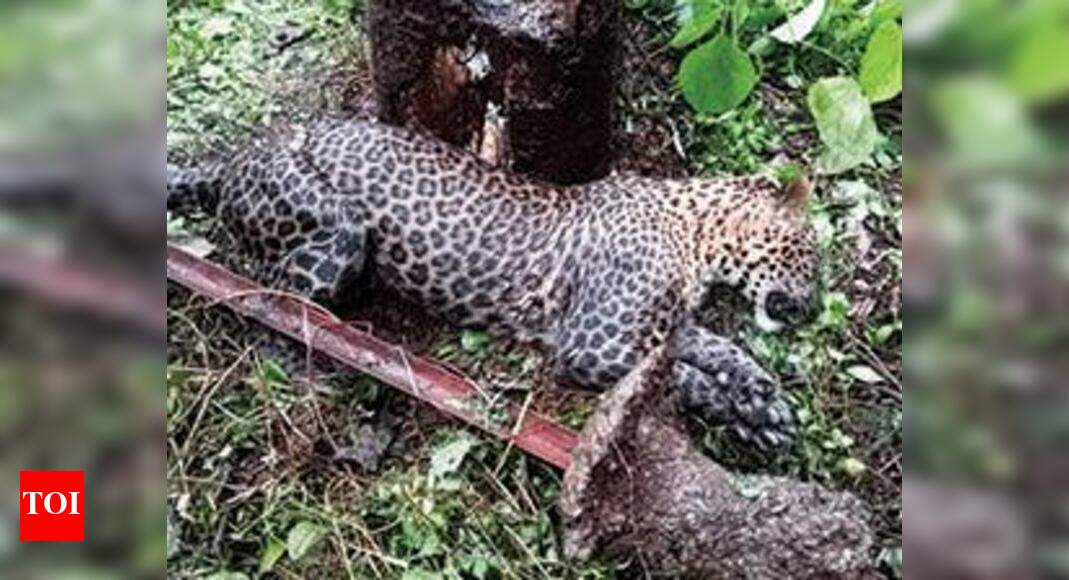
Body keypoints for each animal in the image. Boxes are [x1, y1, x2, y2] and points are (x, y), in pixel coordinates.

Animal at [167, 116, 820, 451]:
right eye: (811, 257)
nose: (812, 309)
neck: (697, 235)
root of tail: (234, 155)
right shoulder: (593, 344)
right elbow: (676, 374)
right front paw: (747, 411)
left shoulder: (656, 323)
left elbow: (710, 344)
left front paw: (762, 398)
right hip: (333, 231)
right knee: (260, 293)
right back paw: (320, 359)